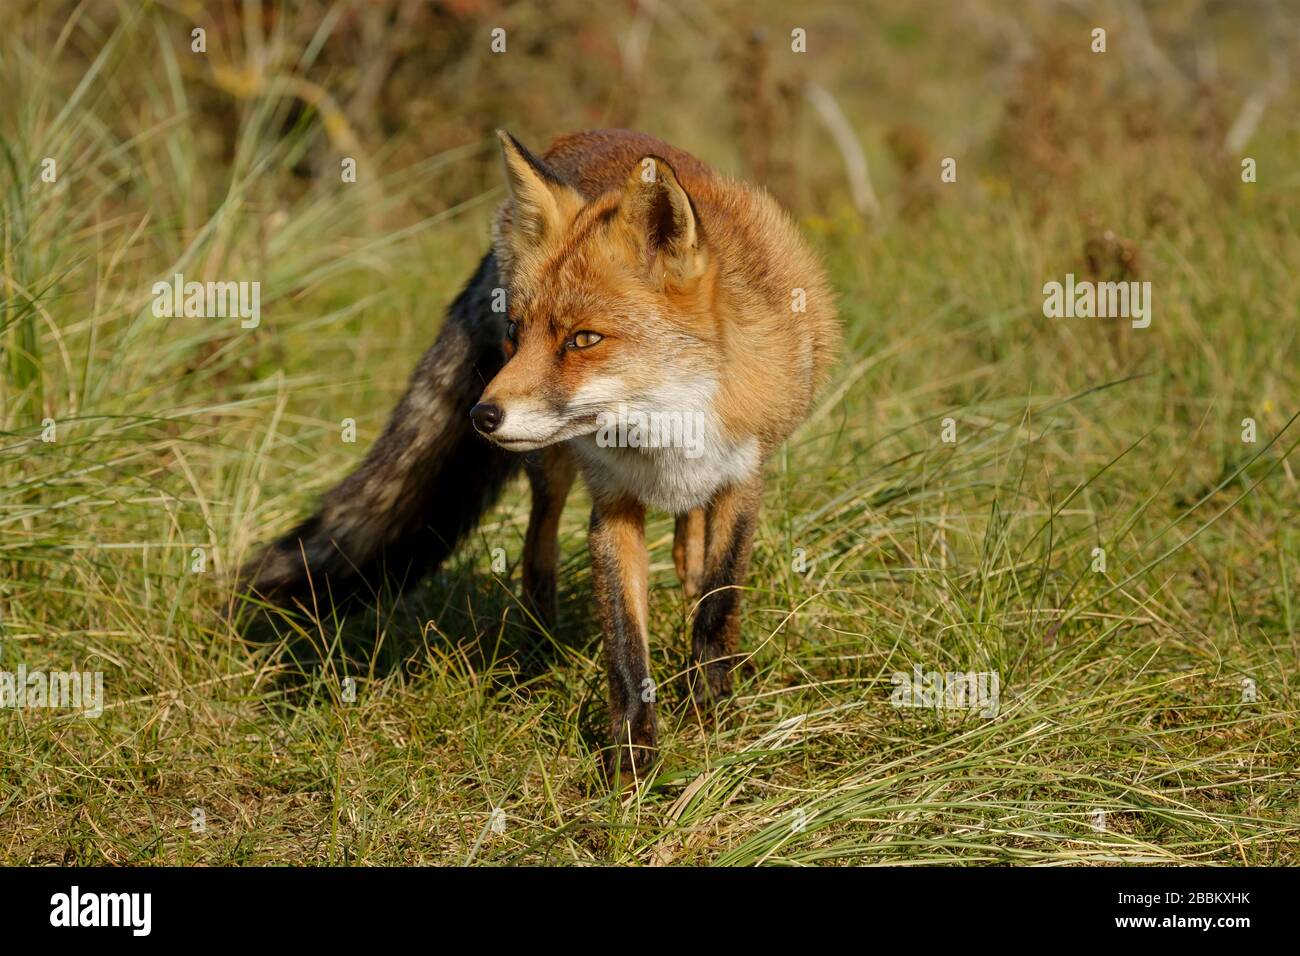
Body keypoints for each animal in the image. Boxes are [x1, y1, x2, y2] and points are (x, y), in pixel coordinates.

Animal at [244, 129, 839, 782]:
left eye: (583, 339)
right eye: (517, 333)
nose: (482, 416)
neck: (668, 426)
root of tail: (591, 134)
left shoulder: (743, 480)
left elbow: (717, 603)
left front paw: (711, 711)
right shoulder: (613, 507)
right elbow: (625, 648)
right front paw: (632, 762)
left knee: (689, 547)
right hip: (549, 469)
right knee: (538, 549)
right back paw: (538, 656)